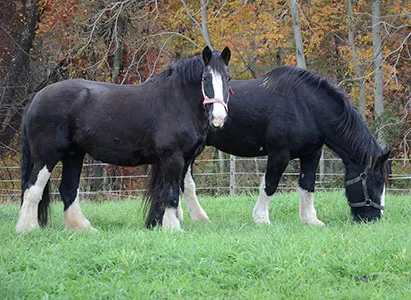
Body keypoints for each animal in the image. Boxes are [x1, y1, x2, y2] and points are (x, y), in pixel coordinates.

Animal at [16, 45, 233, 233]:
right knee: (33, 188)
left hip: (73, 154)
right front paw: (173, 228)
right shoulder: (173, 158)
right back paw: (28, 229)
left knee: (68, 189)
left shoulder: (184, 160)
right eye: (205, 78)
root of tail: (36, 98)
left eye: (228, 78)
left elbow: (173, 191)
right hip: (47, 156)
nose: (219, 117)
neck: (176, 101)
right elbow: (170, 193)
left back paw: (82, 228)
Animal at [182, 65, 392, 225]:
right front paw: (261, 219)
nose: (375, 218)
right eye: (377, 181)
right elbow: (269, 185)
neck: (306, 107)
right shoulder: (279, 154)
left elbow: (307, 185)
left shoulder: (311, 154)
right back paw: (197, 217)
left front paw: (310, 220)